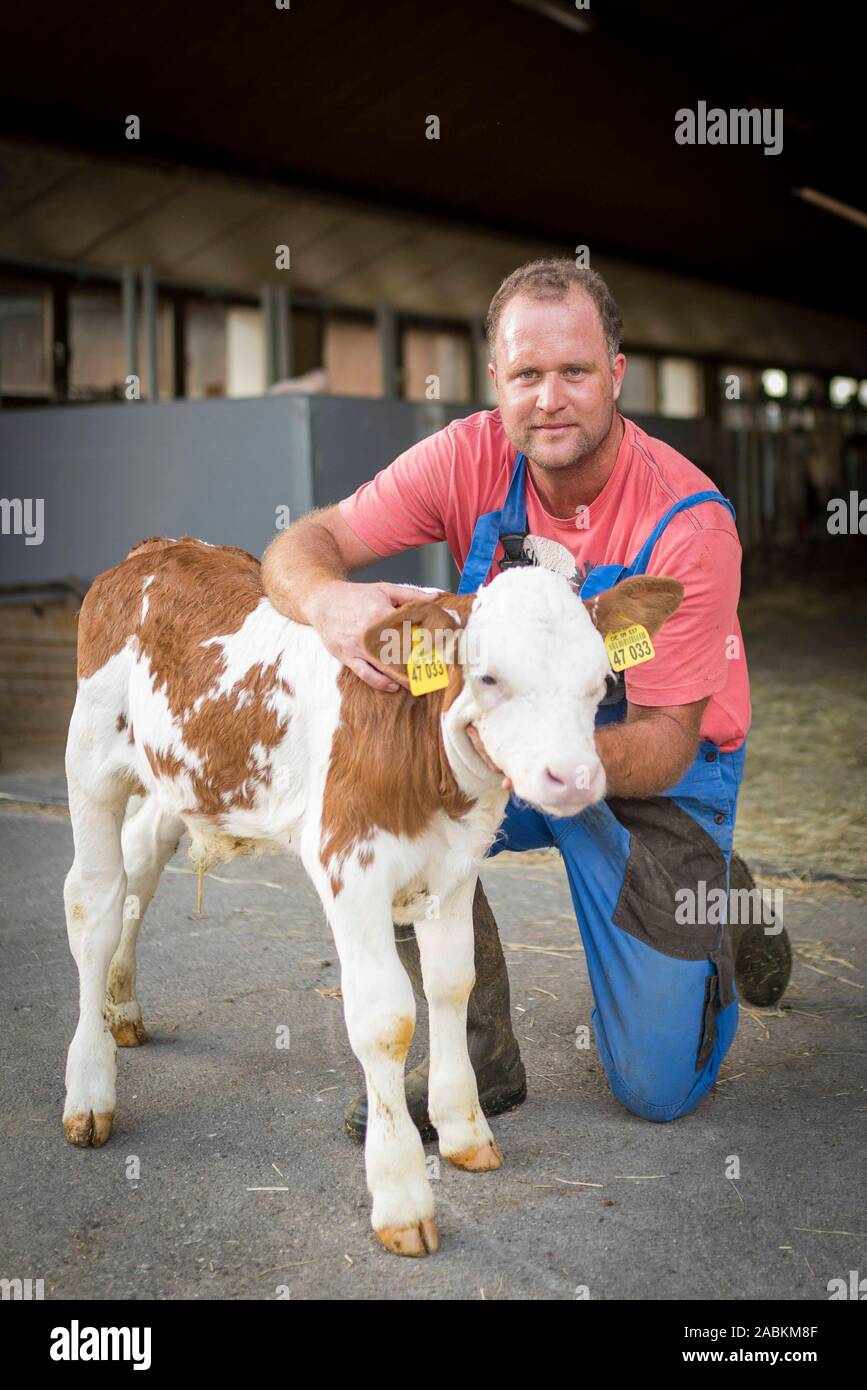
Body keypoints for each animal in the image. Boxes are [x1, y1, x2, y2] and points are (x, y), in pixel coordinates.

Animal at [62, 536, 681, 1256]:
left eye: (601, 682)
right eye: (489, 677)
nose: (574, 776)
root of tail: (160, 547)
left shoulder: (454, 865)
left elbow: (453, 983)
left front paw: (463, 1128)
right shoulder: (349, 868)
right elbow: (386, 1021)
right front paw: (401, 1195)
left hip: (182, 775)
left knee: (140, 867)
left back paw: (123, 1006)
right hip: (91, 762)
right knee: (94, 902)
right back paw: (89, 1089)